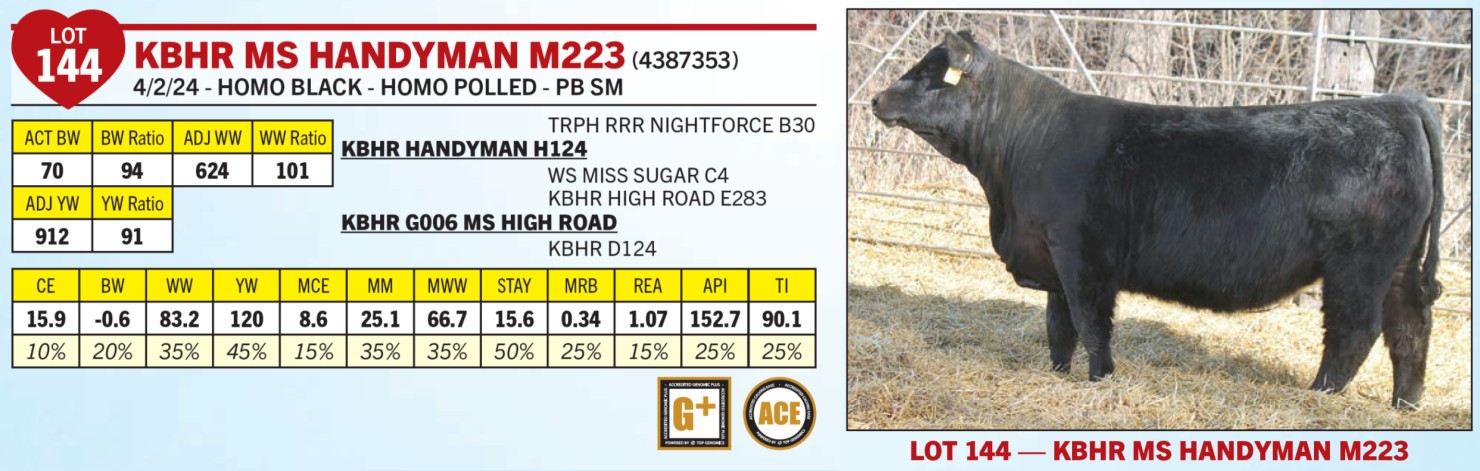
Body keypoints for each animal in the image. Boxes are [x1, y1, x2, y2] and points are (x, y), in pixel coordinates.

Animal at [870, 31, 1445, 409]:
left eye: (931, 76)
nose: (876, 98)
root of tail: (1400, 103)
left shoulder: (1084, 256)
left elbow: (1091, 323)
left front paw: (1101, 379)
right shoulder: (1051, 255)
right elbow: (1059, 327)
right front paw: (1058, 375)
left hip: (1358, 263)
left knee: (1355, 330)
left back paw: (1320, 395)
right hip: (1398, 262)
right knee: (1410, 326)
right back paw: (1405, 404)